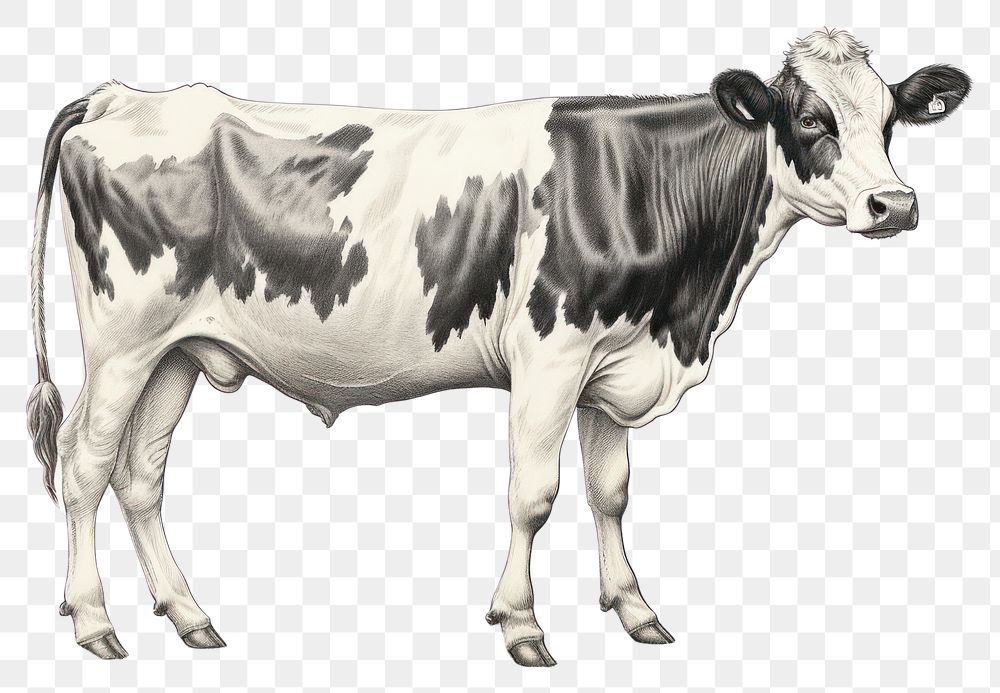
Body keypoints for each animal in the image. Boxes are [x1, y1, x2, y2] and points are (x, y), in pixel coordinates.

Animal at [28, 29, 969, 665]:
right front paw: (521, 625)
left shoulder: (609, 364)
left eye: (891, 117)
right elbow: (535, 496)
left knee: (140, 473)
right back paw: (95, 621)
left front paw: (634, 609)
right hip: (122, 340)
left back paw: (189, 616)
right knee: (83, 462)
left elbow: (610, 492)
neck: (687, 307)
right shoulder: (550, 355)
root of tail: (123, 95)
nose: (895, 204)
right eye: (812, 119)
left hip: (179, 351)